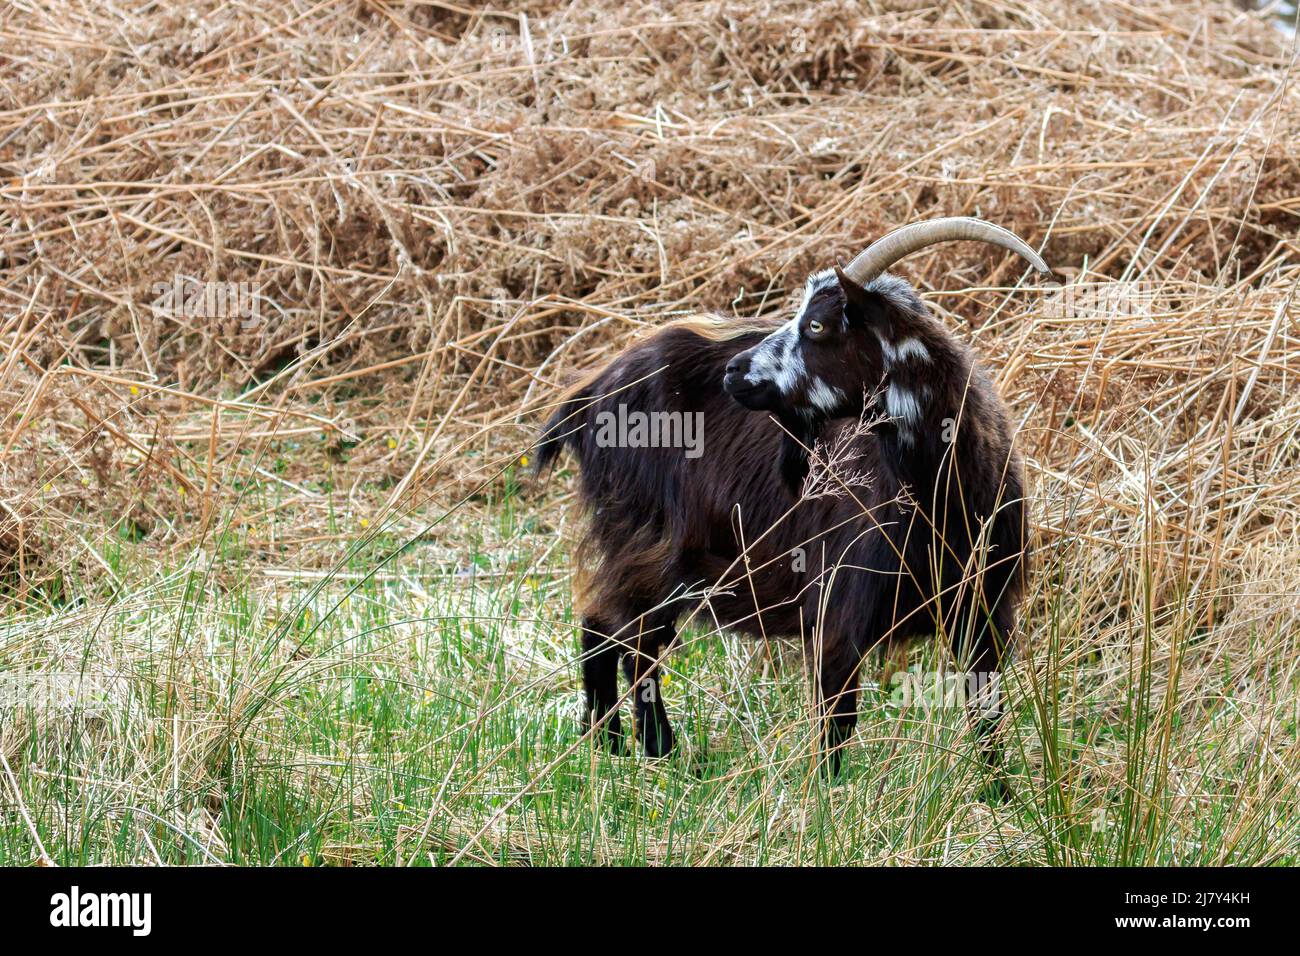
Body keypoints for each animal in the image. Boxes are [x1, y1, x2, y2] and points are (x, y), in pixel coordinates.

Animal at [536, 218, 1052, 782]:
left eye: (818, 326)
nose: (734, 372)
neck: (941, 499)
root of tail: (588, 394)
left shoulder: (985, 613)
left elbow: (987, 717)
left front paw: (1001, 794)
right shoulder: (839, 613)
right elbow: (836, 726)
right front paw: (827, 796)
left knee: (622, 638)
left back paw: (631, 749)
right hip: (643, 540)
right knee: (611, 631)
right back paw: (632, 750)